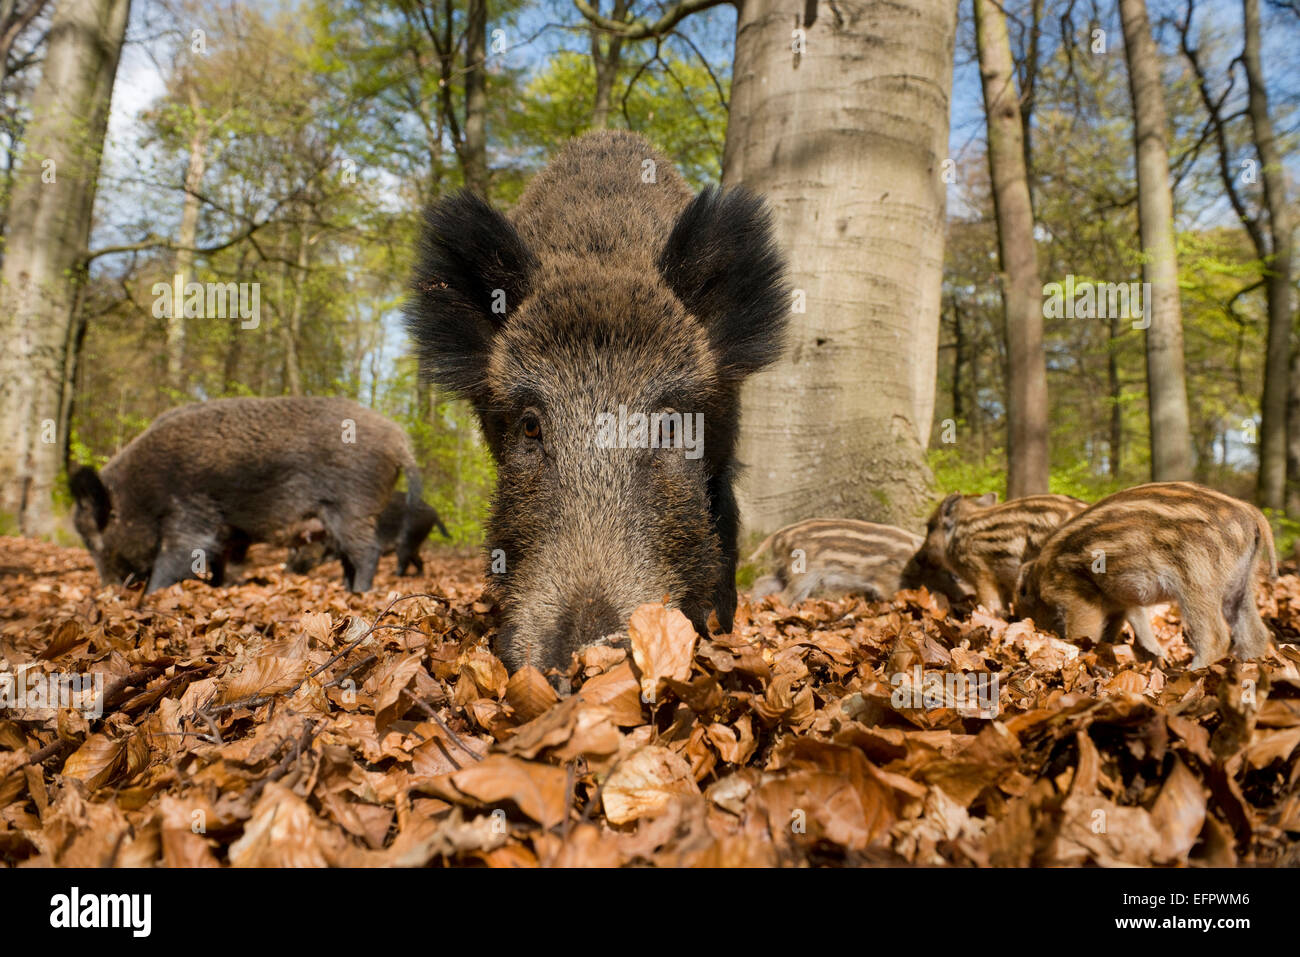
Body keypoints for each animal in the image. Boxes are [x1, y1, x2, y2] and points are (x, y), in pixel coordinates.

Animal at [68, 396, 421, 593]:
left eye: (95, 539)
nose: (107, 591)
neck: (140, 494)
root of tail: (400, 441)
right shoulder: (224, 533)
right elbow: (216, 561)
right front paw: (216, 586)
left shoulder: (191, 511)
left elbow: (178, 555)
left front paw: (152, 595)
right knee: (351, 556)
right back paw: (346, 590)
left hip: (353, 506)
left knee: (368, 551)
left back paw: (359, 593)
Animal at [285, 492, 450, 576]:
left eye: (305, 544)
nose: (287, 570)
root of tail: (434, 513)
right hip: (416, 543)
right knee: (418, 561)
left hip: (408, 540)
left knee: (404, 561)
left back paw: (395, 575)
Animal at [748, 518, 969, 605]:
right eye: (954, 575)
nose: (969, 597)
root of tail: (777, 536)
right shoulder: (887, 580)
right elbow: (891, 596)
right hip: (804, 572)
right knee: (785, 597)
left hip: (786, 569)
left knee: (763, 582)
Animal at [1014, 482, 1276, 669]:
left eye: (1023, 596)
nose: (1036, 628)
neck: (1043, 572)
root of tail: (1251, 513)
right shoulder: (1121, 601)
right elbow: (1123, 628)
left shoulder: (1076, 593)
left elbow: (1085, 631)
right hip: (1240, 583)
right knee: (1255, 633)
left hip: (1198, 580)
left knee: (1215, 636)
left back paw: (1190, 672)